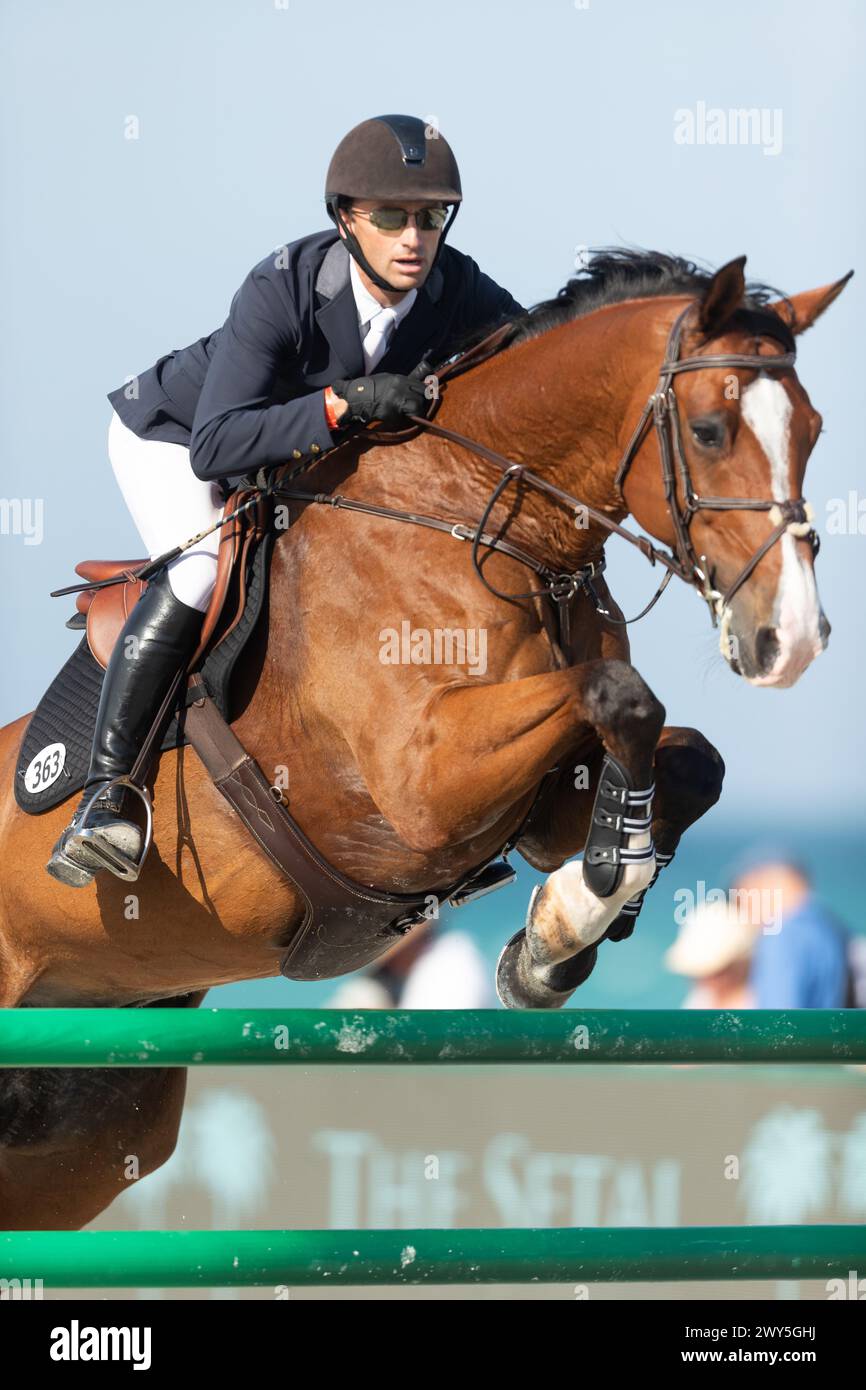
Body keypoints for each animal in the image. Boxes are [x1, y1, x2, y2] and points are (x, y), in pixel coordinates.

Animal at [0, 249, 849, 1228]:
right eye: (710, 431)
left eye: (814, 431)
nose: (792, 639)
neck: (488, 525)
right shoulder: (422, 787)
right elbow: (622, 698)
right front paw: (587, 903)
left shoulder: (534, 800)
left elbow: (688, 762)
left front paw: (562, 933)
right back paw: (105, 819)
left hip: (88, 1131)